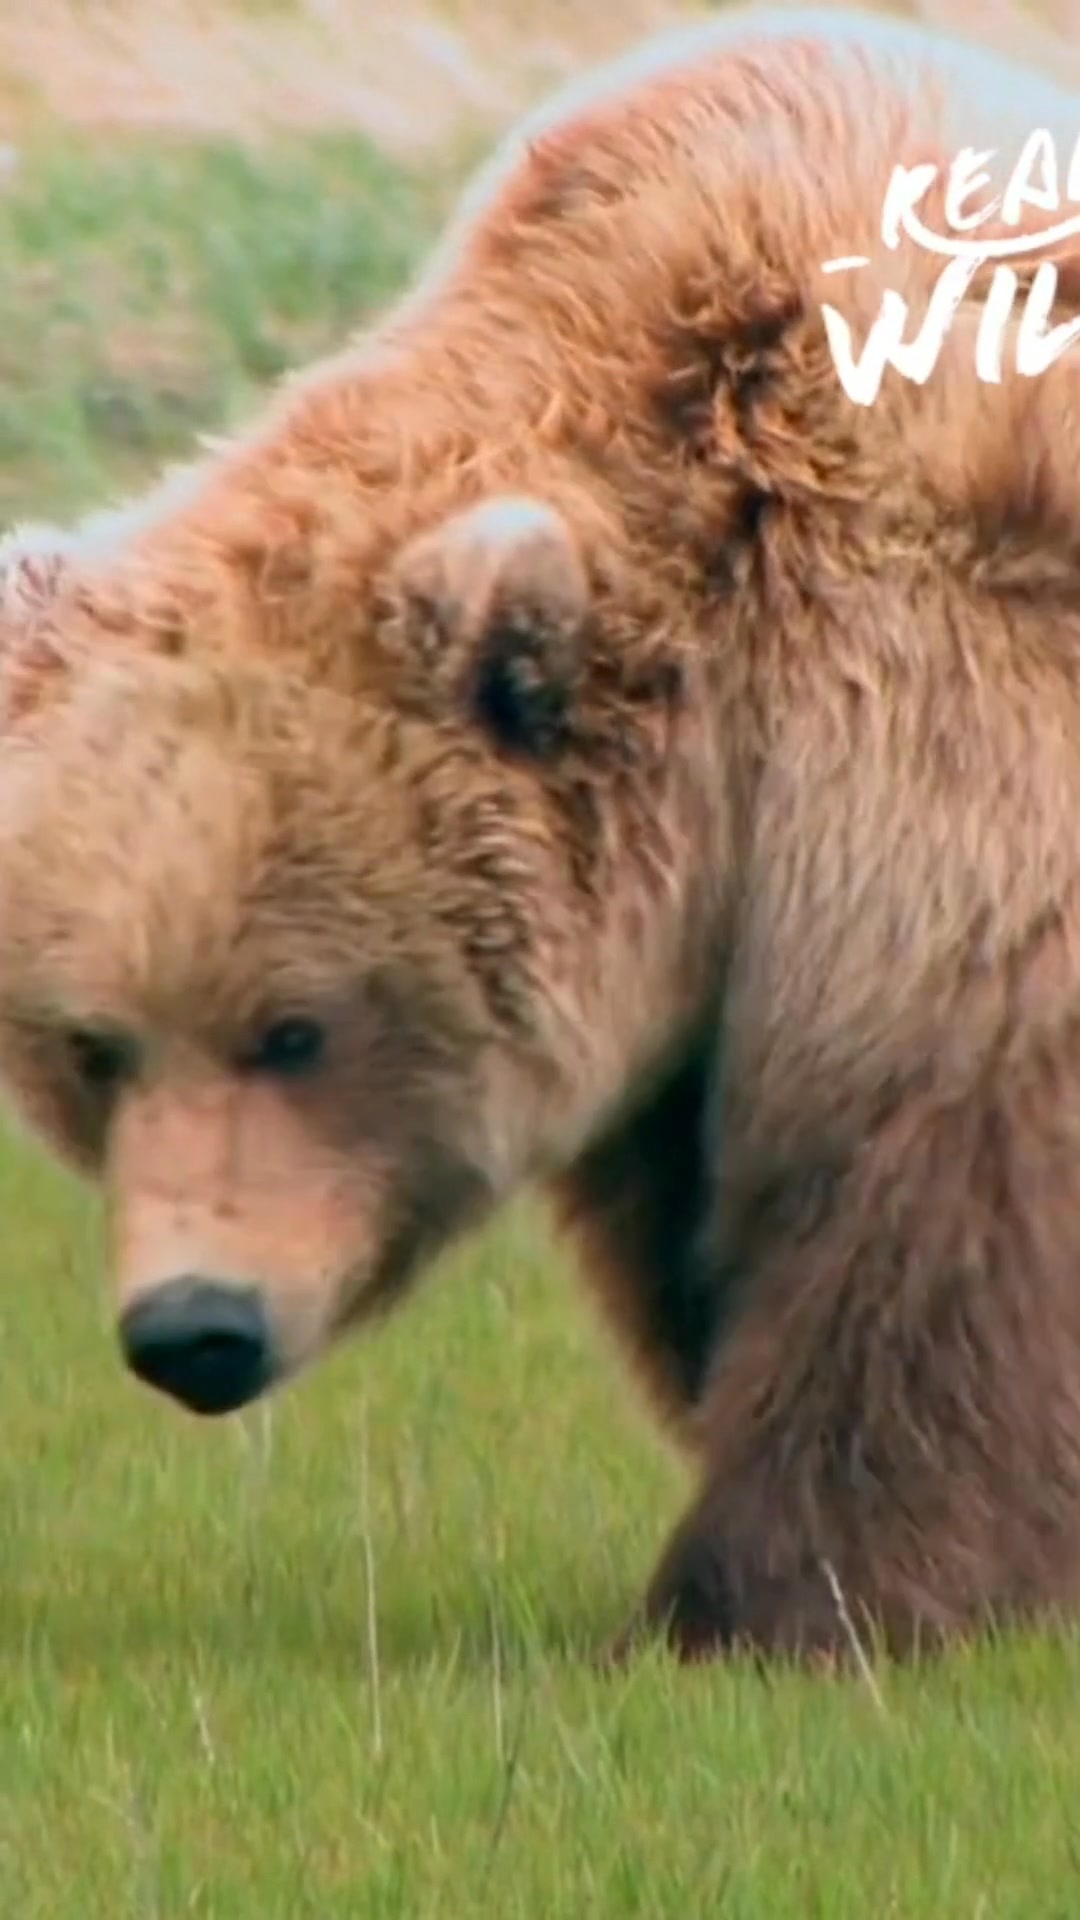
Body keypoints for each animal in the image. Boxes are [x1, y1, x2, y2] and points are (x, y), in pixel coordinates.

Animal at [3, 2, 1080, 1666]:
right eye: (90, 1047)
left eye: (297, 1028)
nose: (194, 1328)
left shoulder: (939, 718)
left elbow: (928, 1171)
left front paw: (786, 1596)